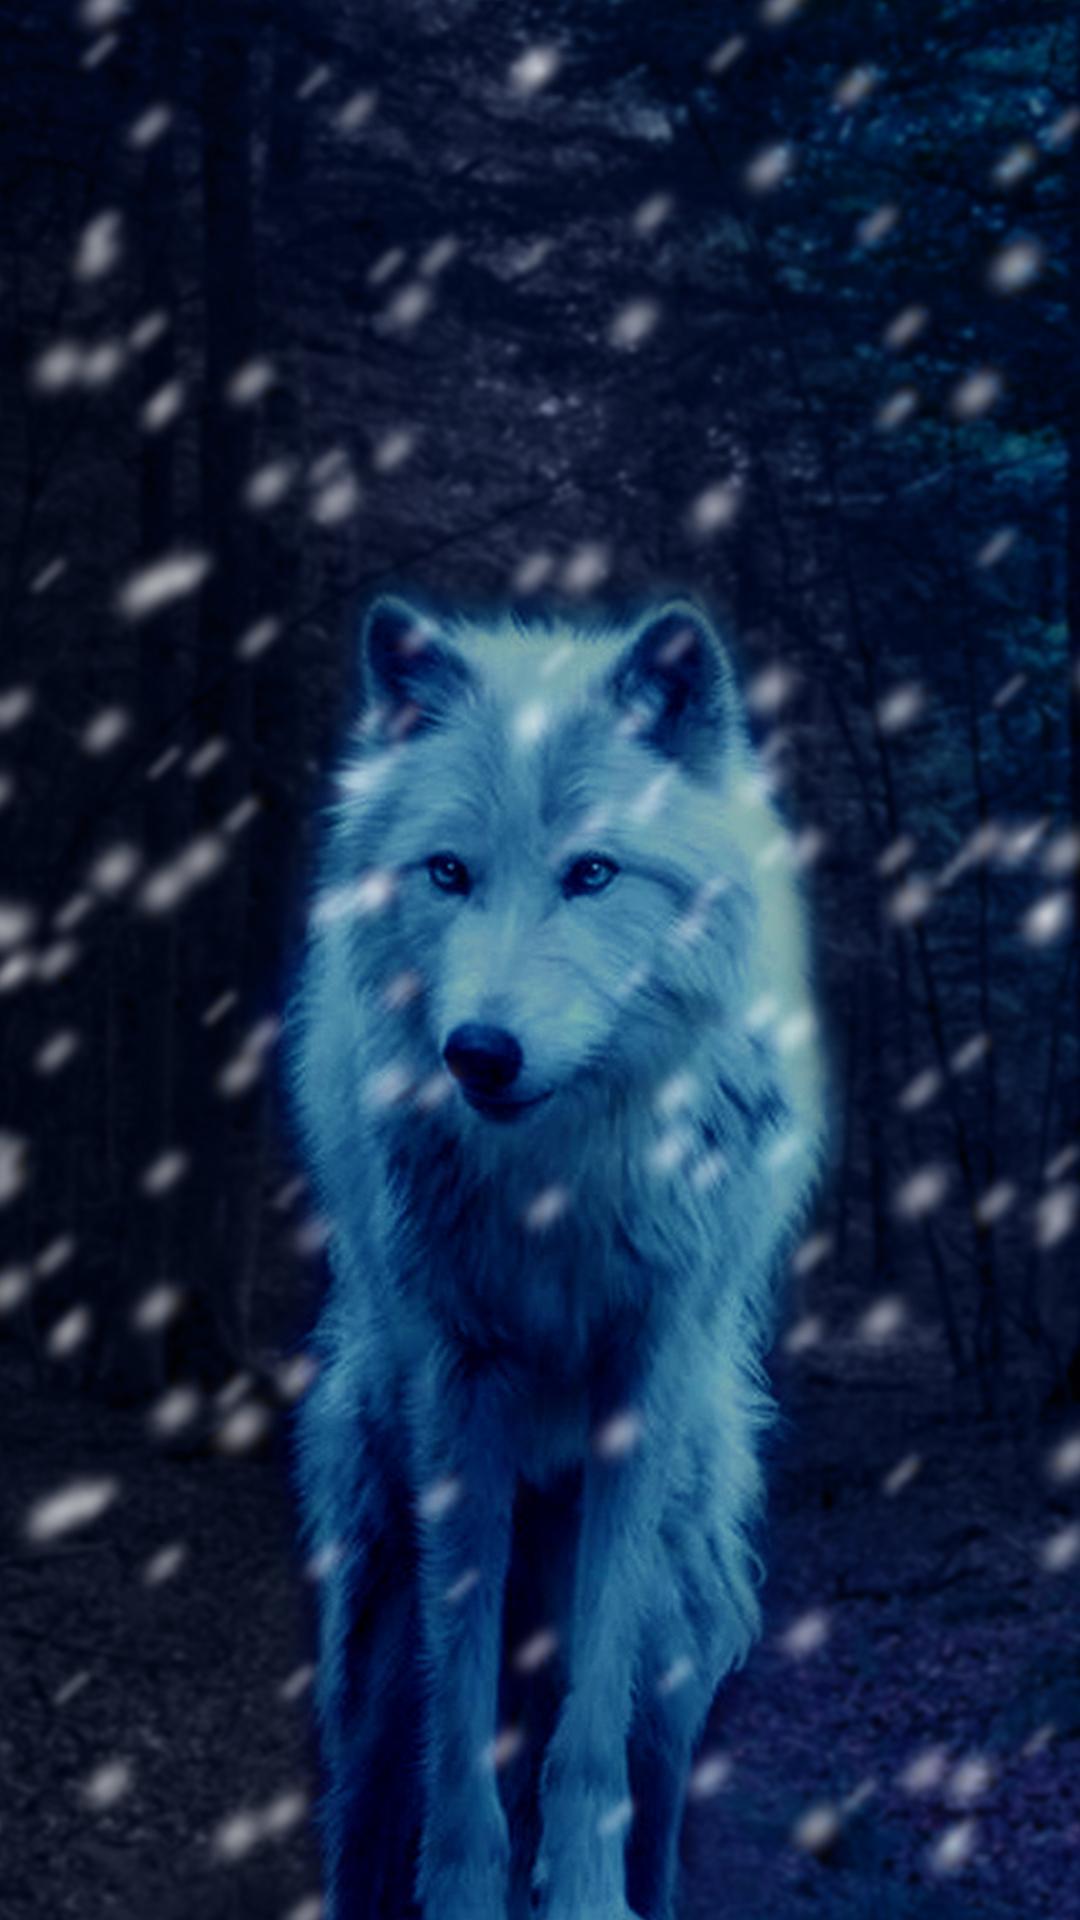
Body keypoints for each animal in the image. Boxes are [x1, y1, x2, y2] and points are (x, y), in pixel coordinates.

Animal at [286, 594, 825, 1920]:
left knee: (651, 1772)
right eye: (448, 872)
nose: (479, 1051)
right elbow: (463, 1717)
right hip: (371, 1608)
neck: (558, 1176)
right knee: (370, 1799)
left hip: (682, 1604)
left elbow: (584, 1732)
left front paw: (580, 1893)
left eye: (591, 873)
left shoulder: (639, 1387)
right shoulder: (457, 1392)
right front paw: (466, 1894)